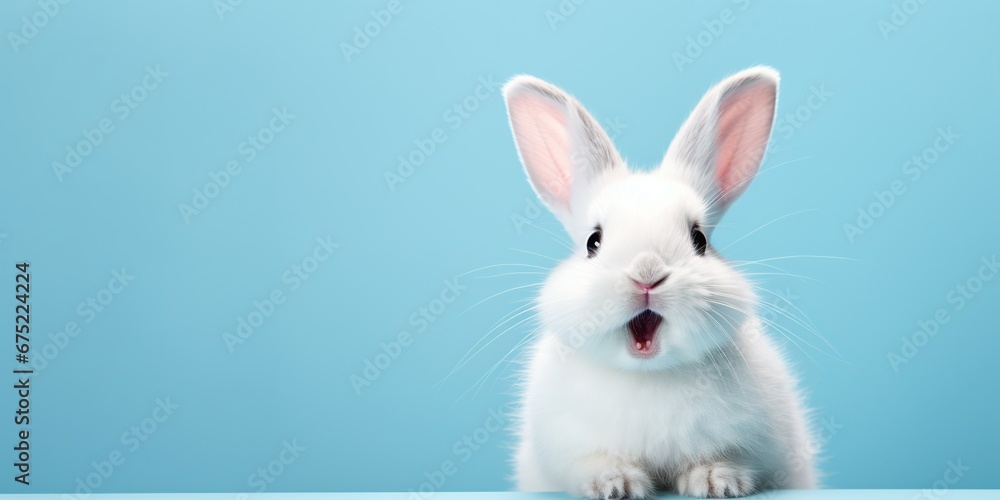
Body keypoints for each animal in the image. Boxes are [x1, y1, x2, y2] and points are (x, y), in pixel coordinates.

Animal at [501, 67, 818, 499]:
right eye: (593, 242)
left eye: (699, 239)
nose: (647, 274)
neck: (648, 374)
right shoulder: (568, 450)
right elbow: (593, 463)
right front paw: (614, 484)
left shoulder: (758, 447)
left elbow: (726, 458)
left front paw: (716, 481)